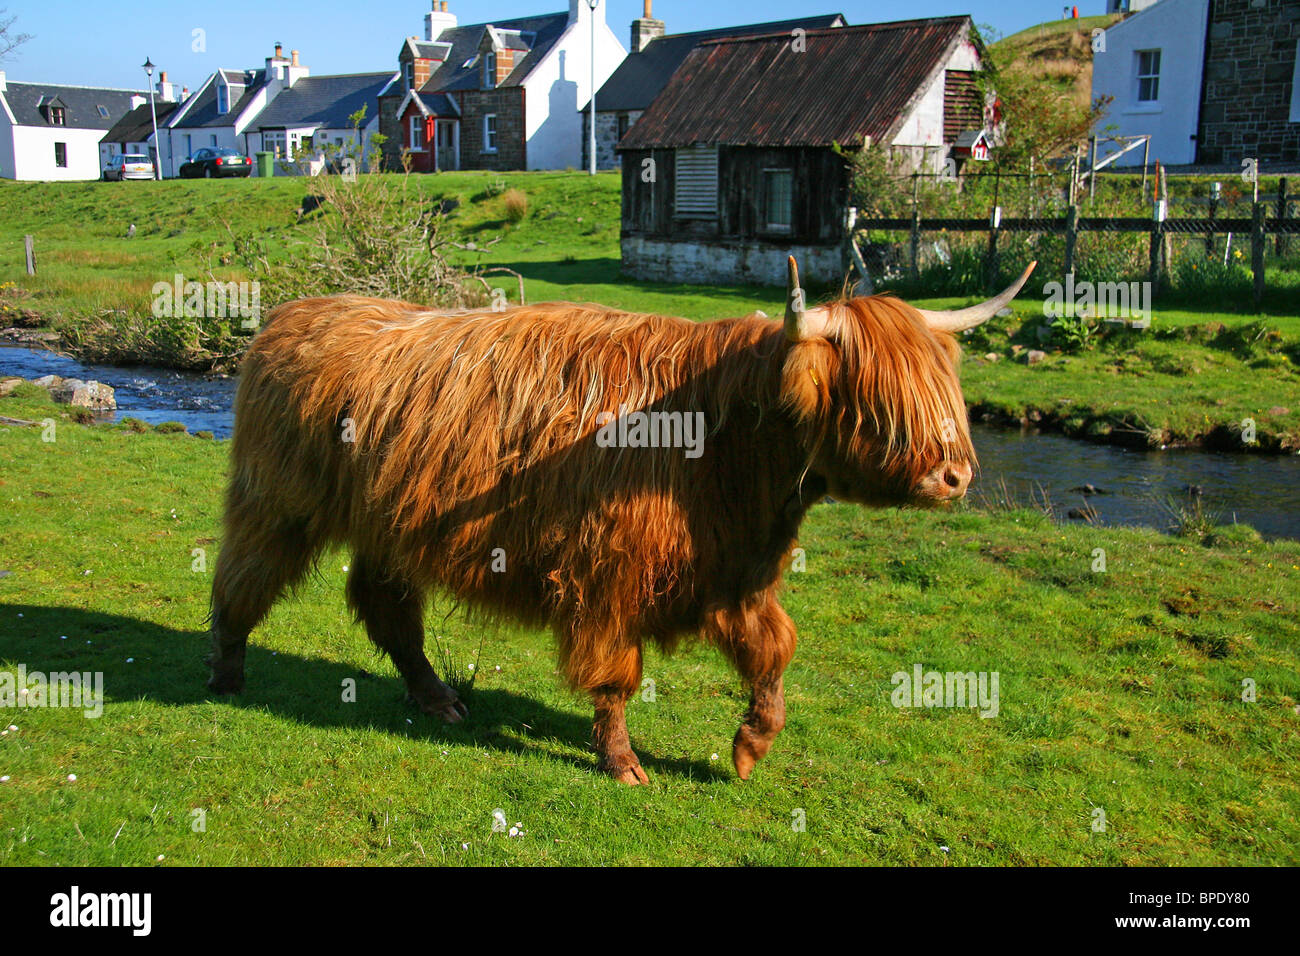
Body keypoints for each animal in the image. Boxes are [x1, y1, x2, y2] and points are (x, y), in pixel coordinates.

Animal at [207, 257, 1036, 784]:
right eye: (877, 399)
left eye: (942, 385)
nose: (955, 476)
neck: (723, 439)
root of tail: (295, 313)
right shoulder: (608, 576)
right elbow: (614, 677)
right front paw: (622, 762)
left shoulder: (732, 571)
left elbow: (772, 654)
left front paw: (749, 747)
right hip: (276, 503)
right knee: (240, 584)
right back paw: (227, 676)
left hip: (388, 524)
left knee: (388, 611)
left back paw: (437, 698)